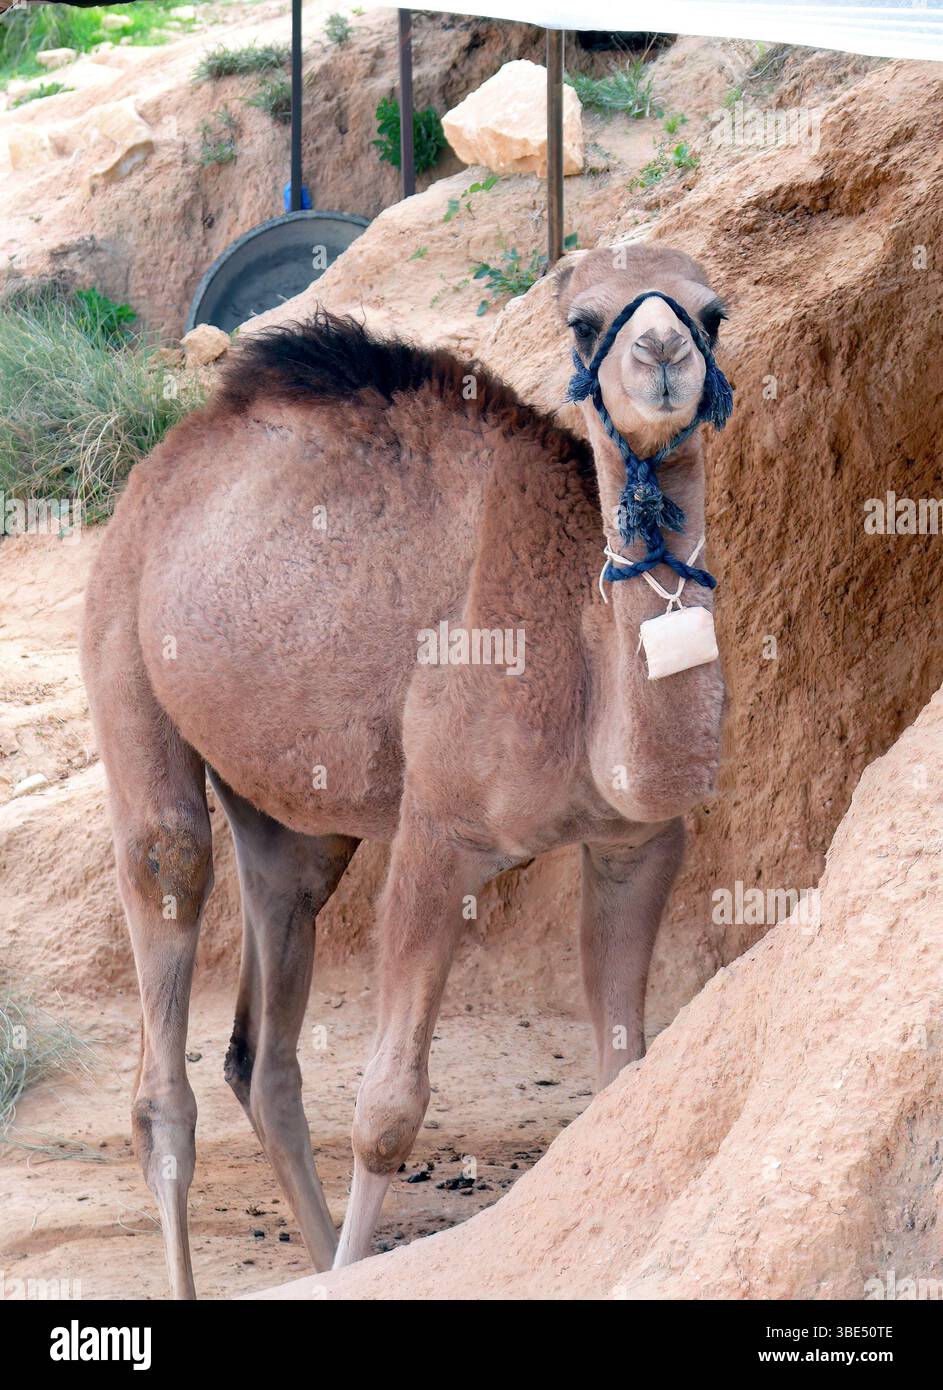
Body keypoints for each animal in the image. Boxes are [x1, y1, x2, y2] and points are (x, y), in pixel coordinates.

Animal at [80, 242, 730, 1298]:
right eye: (583, 322)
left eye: (714, 313)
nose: (663, 353)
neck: (583, 656)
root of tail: (167, 453)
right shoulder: (437, 834)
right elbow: (385, 1114)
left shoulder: (637, 844)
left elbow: (621, 1078)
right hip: (124, 655)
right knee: (165, 980)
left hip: (296, 812)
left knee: (262, 1044)